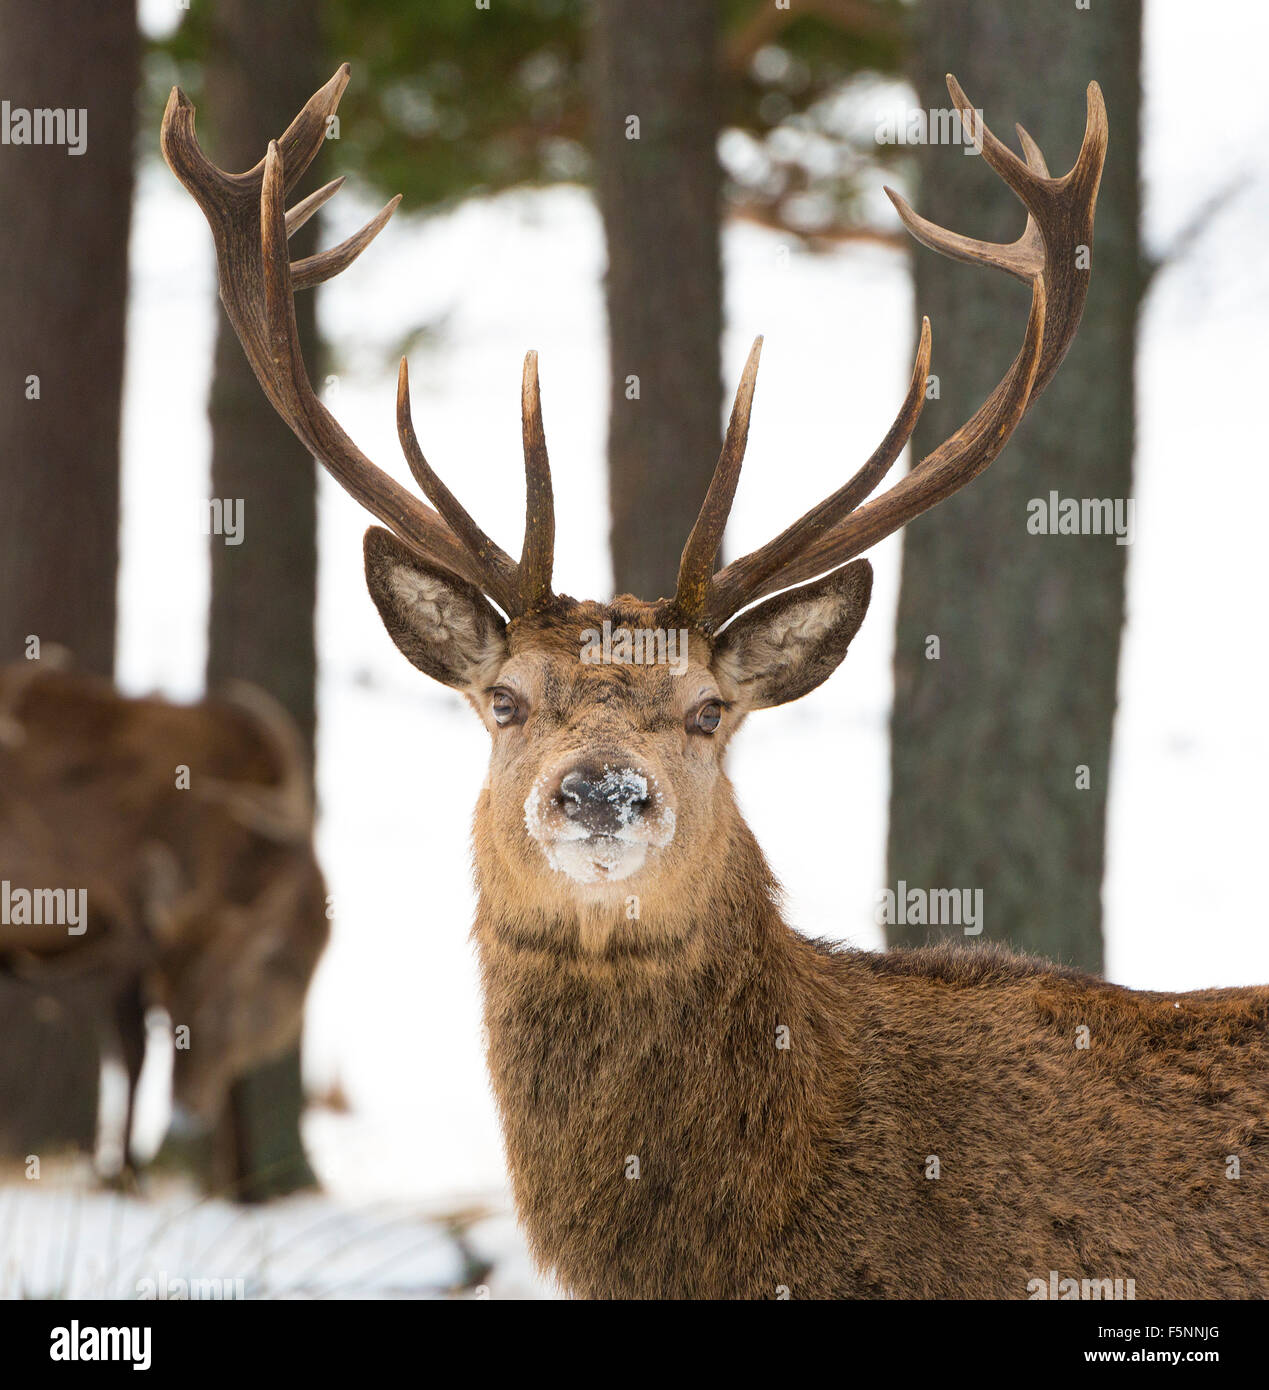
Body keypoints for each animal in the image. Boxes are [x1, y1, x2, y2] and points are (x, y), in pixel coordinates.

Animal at [0, 660, 328, 1177]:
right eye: (170, 1007)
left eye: (224, 998)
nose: (185, 1112)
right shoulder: (130, 932)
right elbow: (131, 1050)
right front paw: (123, 1174)